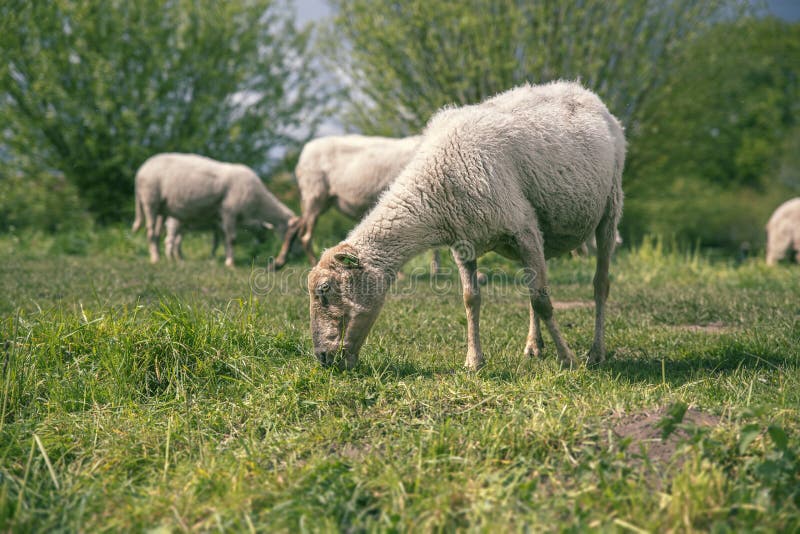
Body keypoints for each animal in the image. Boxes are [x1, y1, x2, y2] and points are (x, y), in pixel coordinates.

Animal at [131, 153, 294, 267]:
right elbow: (231, 239)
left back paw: (165, 257)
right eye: (291, 233)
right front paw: (230, 263)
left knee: (159, 234)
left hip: (162, 208)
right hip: (150, 201)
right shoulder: (229, 212)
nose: (264, 240)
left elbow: (223, 240)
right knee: (154, 233)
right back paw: (156, 258)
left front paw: (222, 258)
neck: (258, 204)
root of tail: (140, 171)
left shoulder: (221, 221)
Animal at [271, 135, 443, 272]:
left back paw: (279, 263)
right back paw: (311, 263)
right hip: (314, 194)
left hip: (321, 200)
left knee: (295, 225)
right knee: (306, 236)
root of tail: (305, 151)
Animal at [307, 81, 625, 371]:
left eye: (324, 291)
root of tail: (579, 88)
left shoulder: (523, 229)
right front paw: (474, 361)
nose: (322, 358)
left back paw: (596, 352)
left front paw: (568, 359)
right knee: (534, 285)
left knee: (600, 285)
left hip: (610, 207)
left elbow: (542, 301)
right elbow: (472, 299)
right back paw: (534, 345)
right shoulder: (465, 244)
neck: (434, 185)